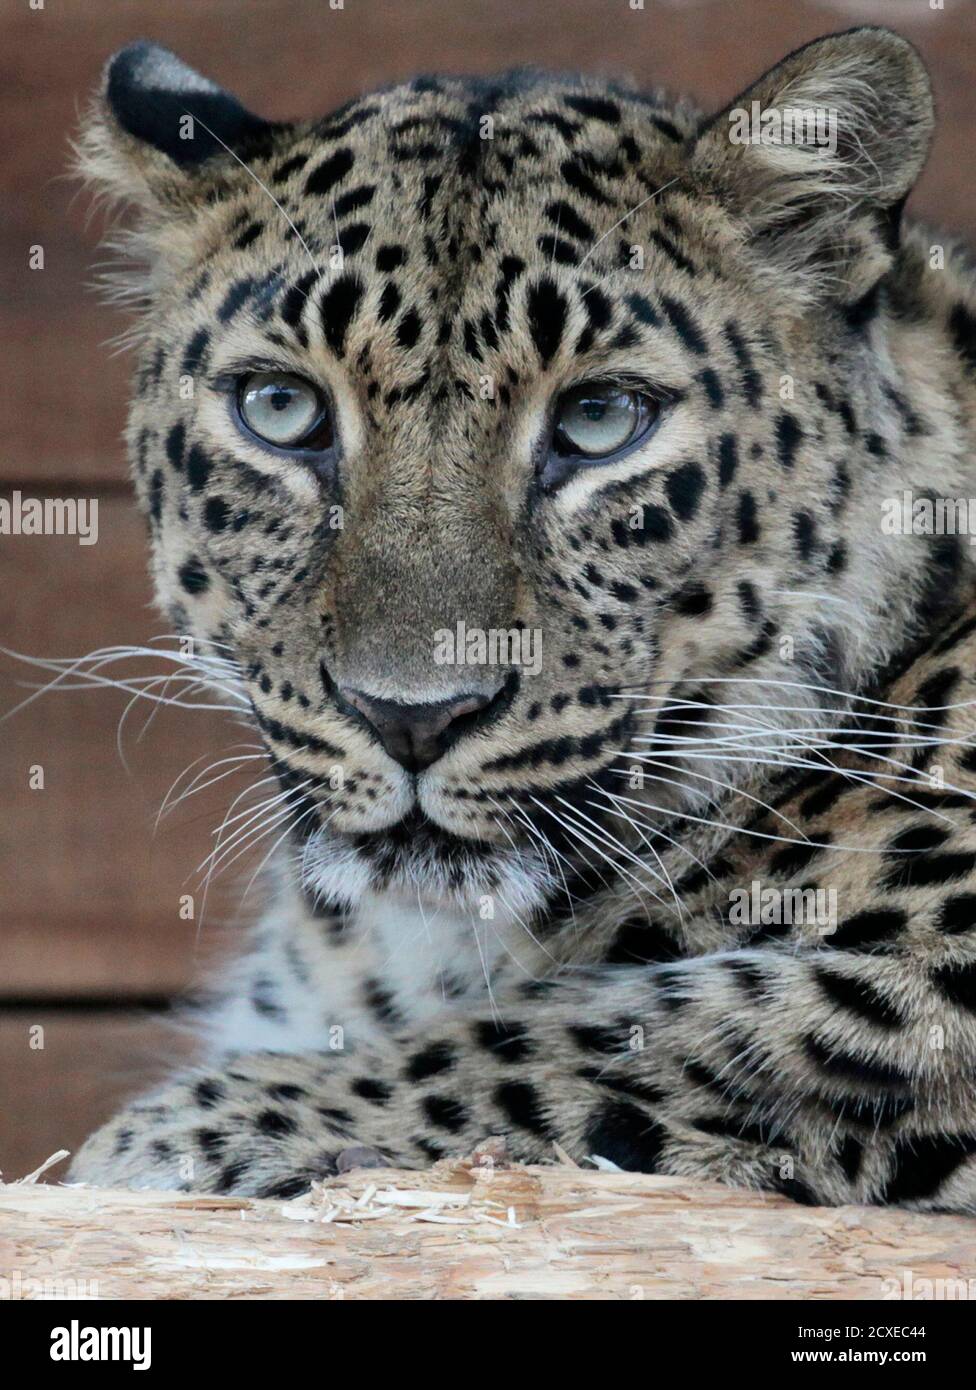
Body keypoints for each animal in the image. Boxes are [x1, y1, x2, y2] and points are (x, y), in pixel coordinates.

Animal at [67, 27, 976, 1211]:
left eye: (599, 420)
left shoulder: (938, 958)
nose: (410, 717)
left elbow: (640, 1030)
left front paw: (173, 1136)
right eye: (281, 409)